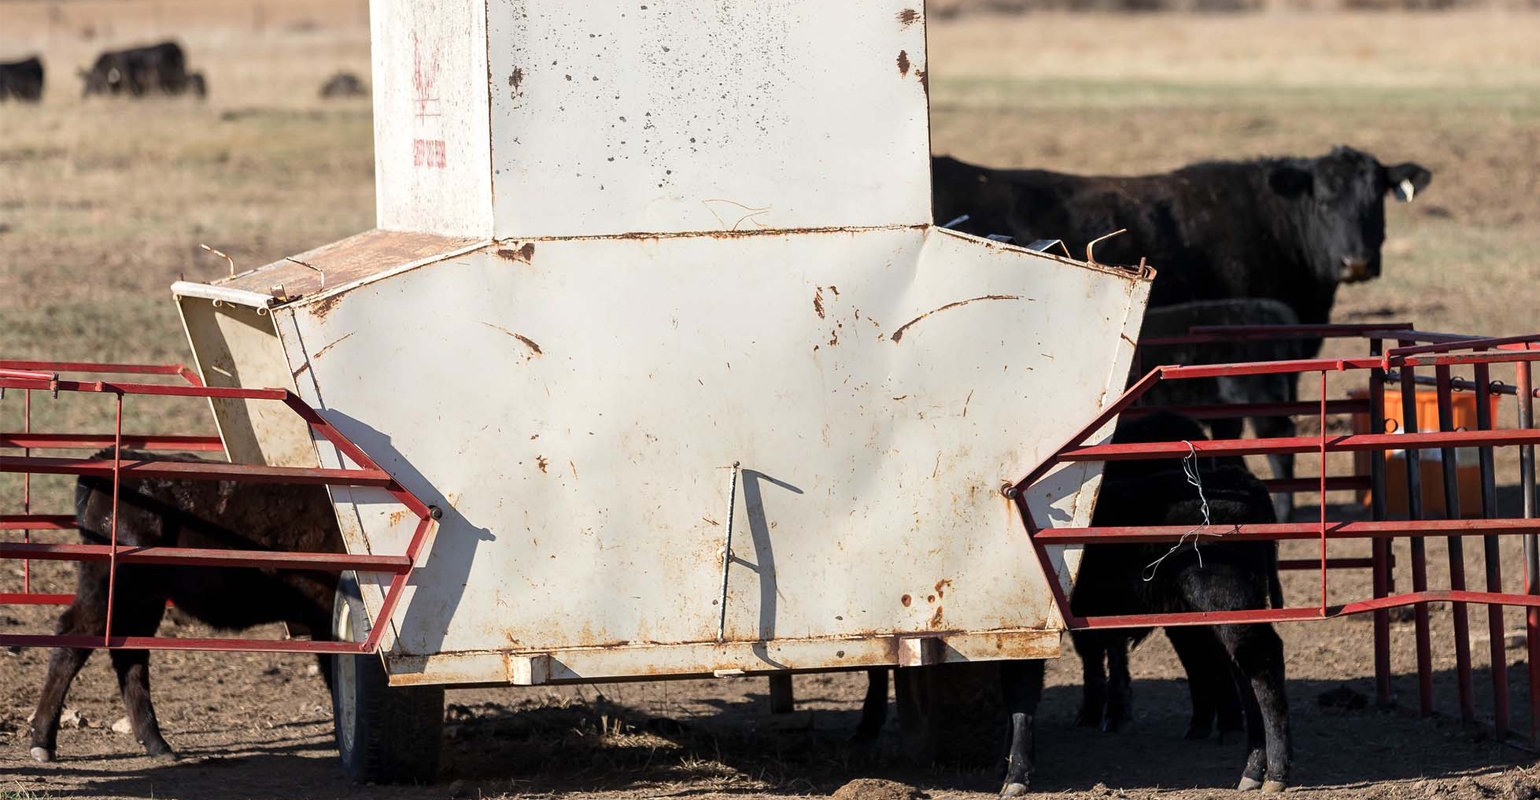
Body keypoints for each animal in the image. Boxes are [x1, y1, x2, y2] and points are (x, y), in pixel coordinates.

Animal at [28, 449, 343, 763]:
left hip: (143, 602)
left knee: (130, 657)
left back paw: (156, 743)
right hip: (109, 591)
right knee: (72, 641)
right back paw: (43, 741)